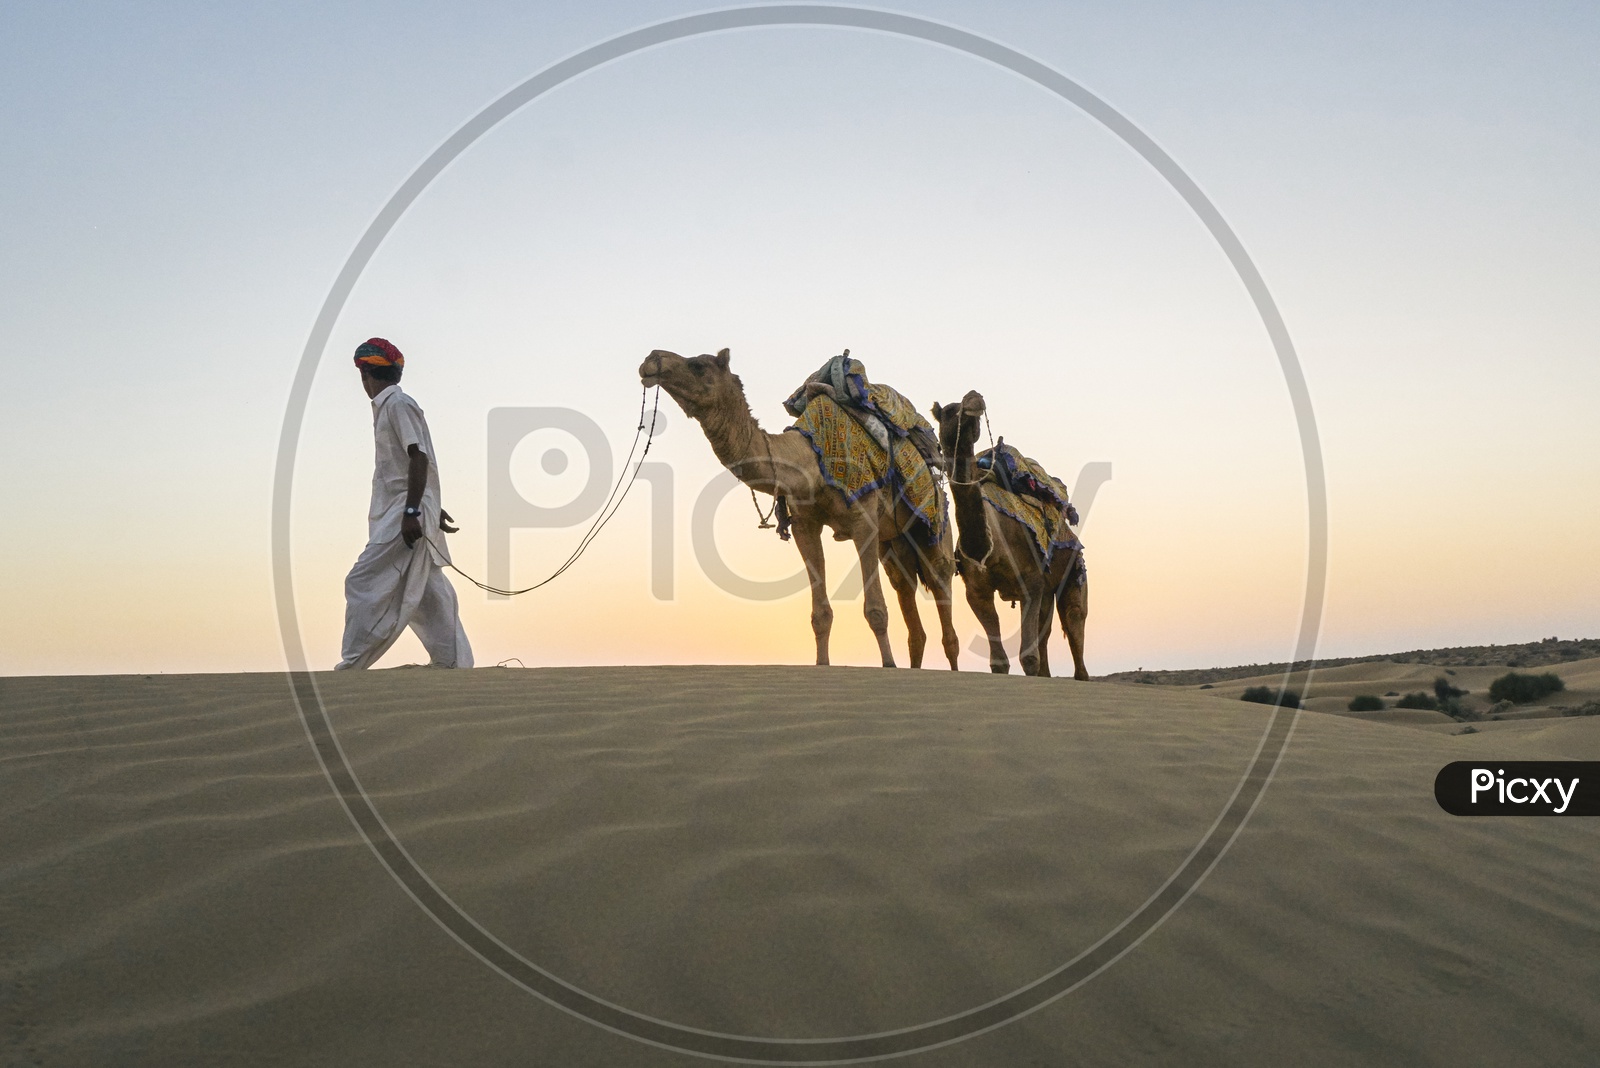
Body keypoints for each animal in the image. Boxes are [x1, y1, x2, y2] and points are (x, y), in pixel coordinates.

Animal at [640, 348, 961, 669]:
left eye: (697, 365)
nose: (651, 360)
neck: (811, 459)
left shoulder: (864, 519)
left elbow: (876, 610)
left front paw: (889, 665)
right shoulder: (805, 525)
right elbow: (820, 614)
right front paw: (822, 663)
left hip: (934, 526)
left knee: (941, 584)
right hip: (893, 541)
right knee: (905, 592)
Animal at [930, 390, 1089, 679]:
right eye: (949, 411)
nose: (974, 397)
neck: (990, 549)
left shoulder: (1032, 583)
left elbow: (1028, 658)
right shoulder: (976, 591)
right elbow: (999, 662)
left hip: (1073, 569)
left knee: (1074, 620)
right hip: (1048, 592)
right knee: (1045, 633)